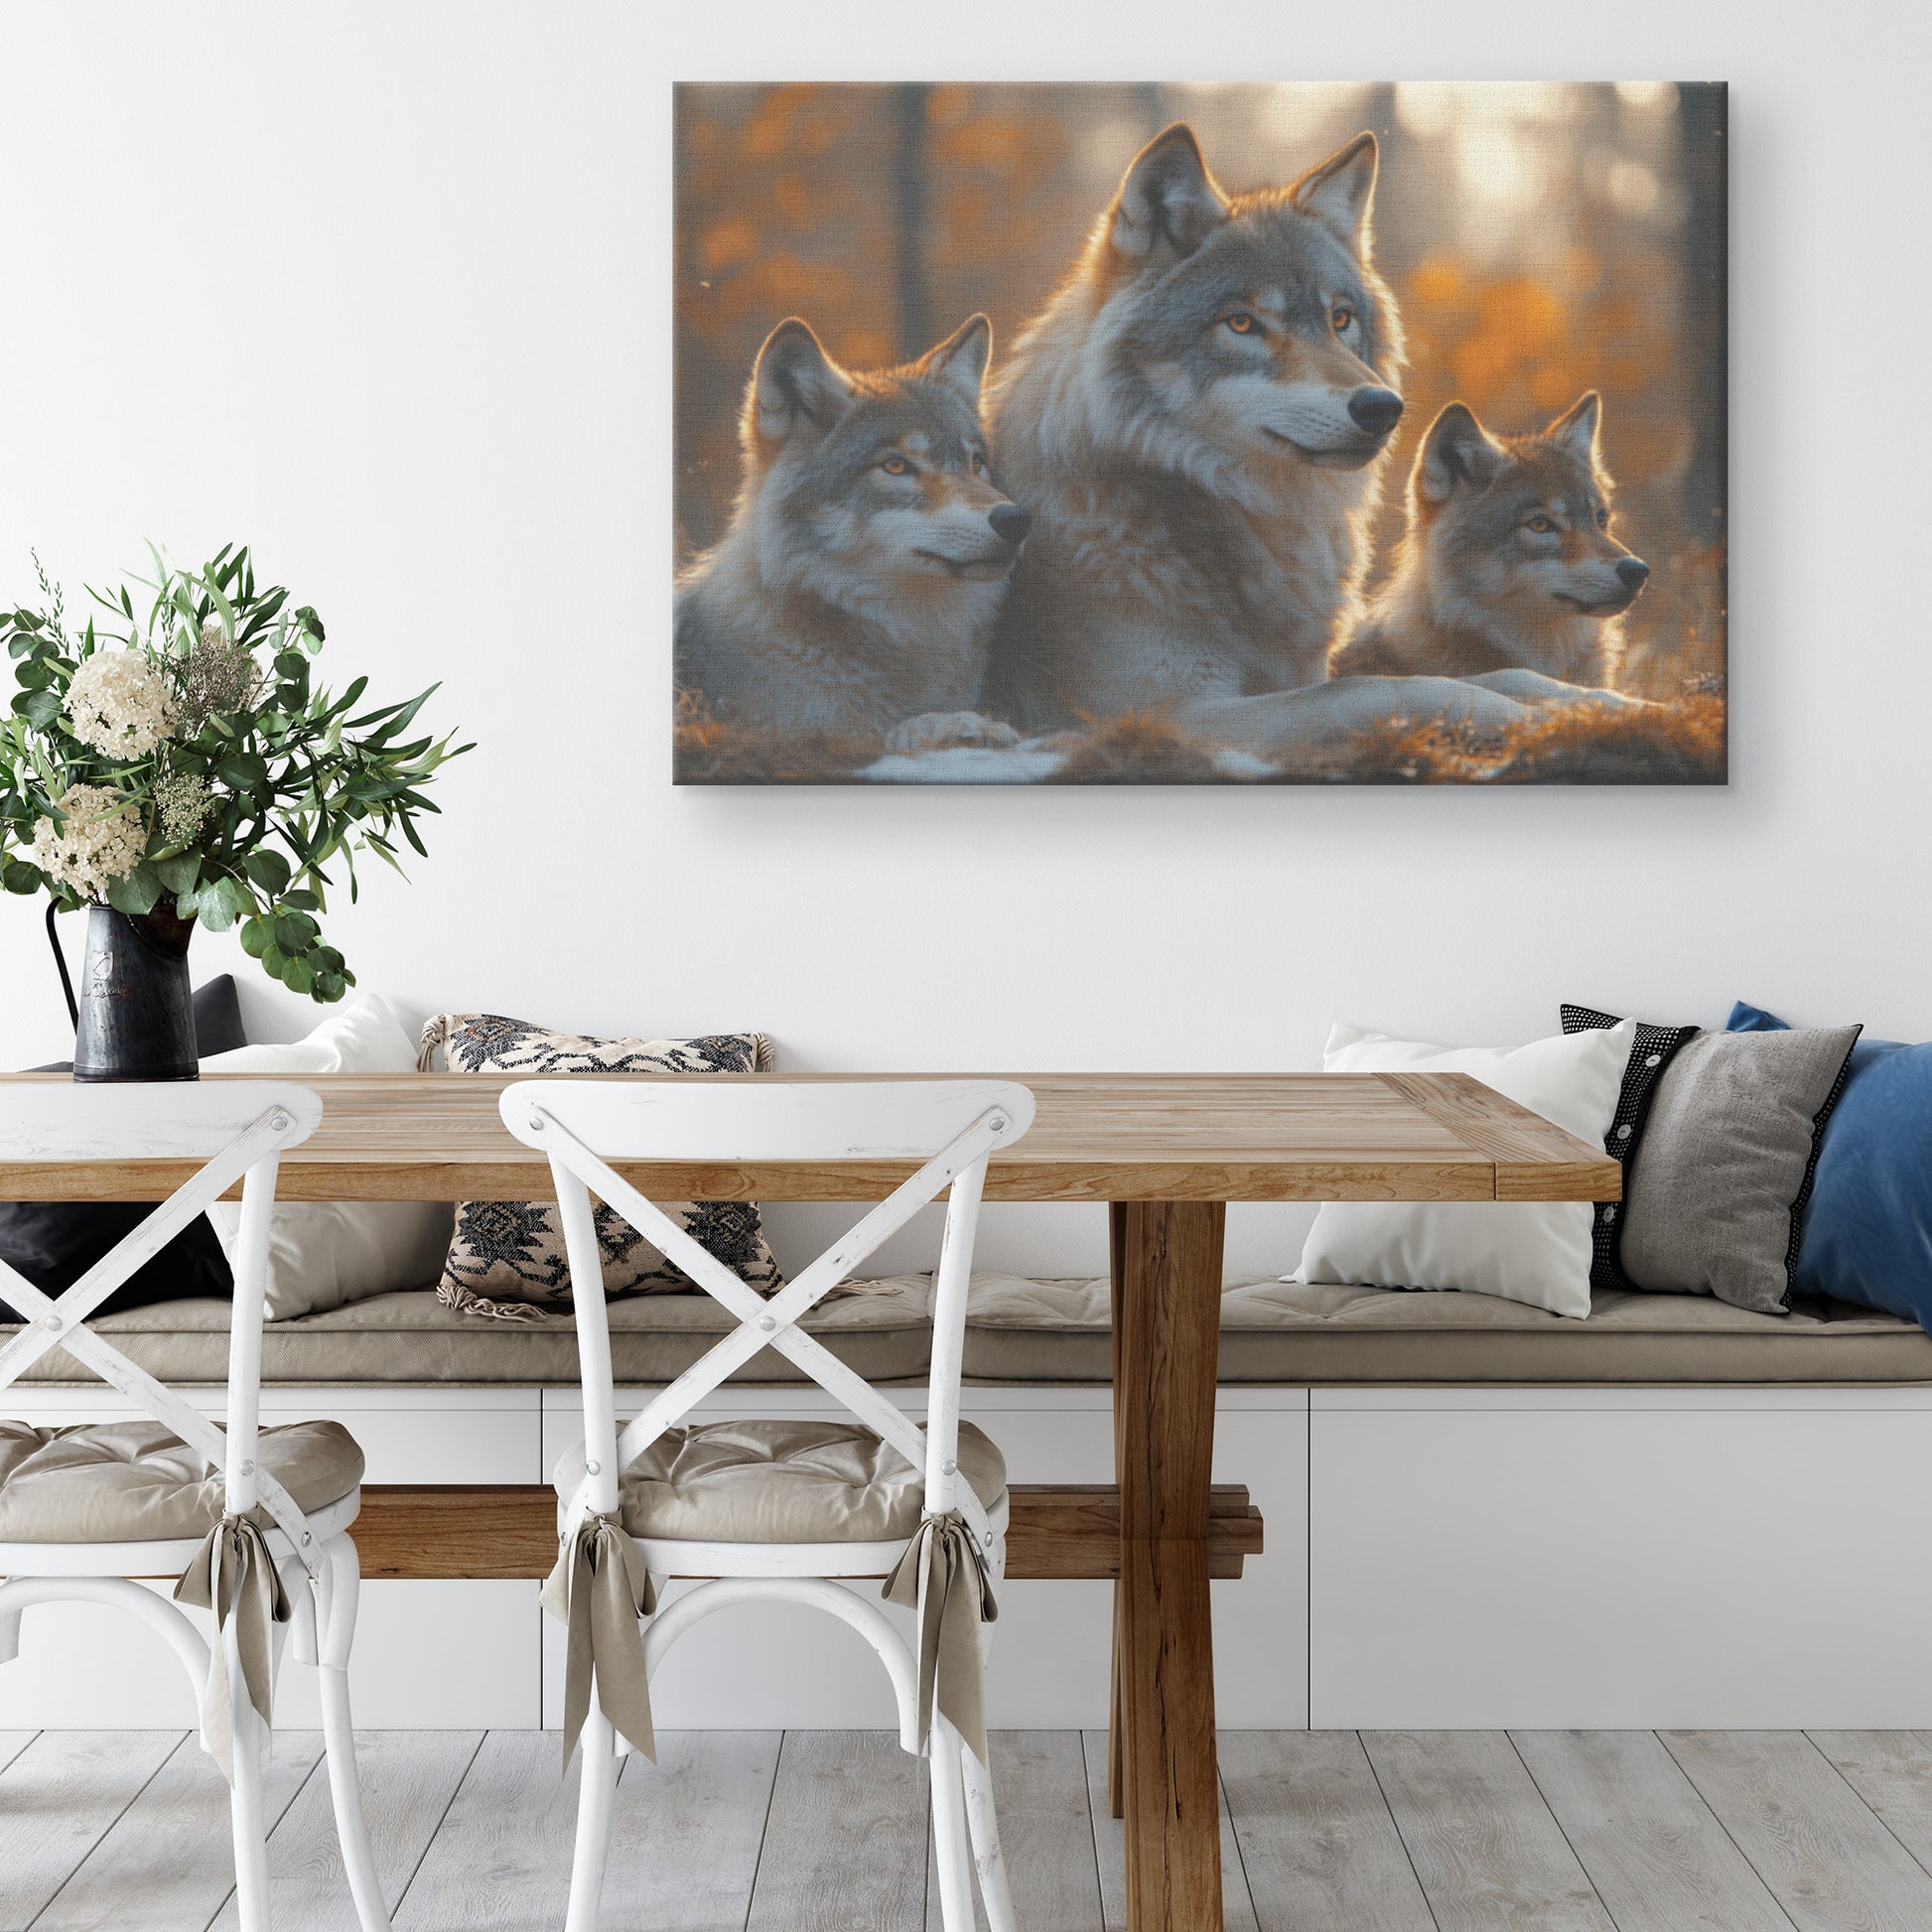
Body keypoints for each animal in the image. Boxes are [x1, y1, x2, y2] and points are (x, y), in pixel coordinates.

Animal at [675, 313, 1031, 738]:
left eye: (976, 463)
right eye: (895, 465)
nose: (1016, 520)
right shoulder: (805, 730)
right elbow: (902, 727)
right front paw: (966, 724)